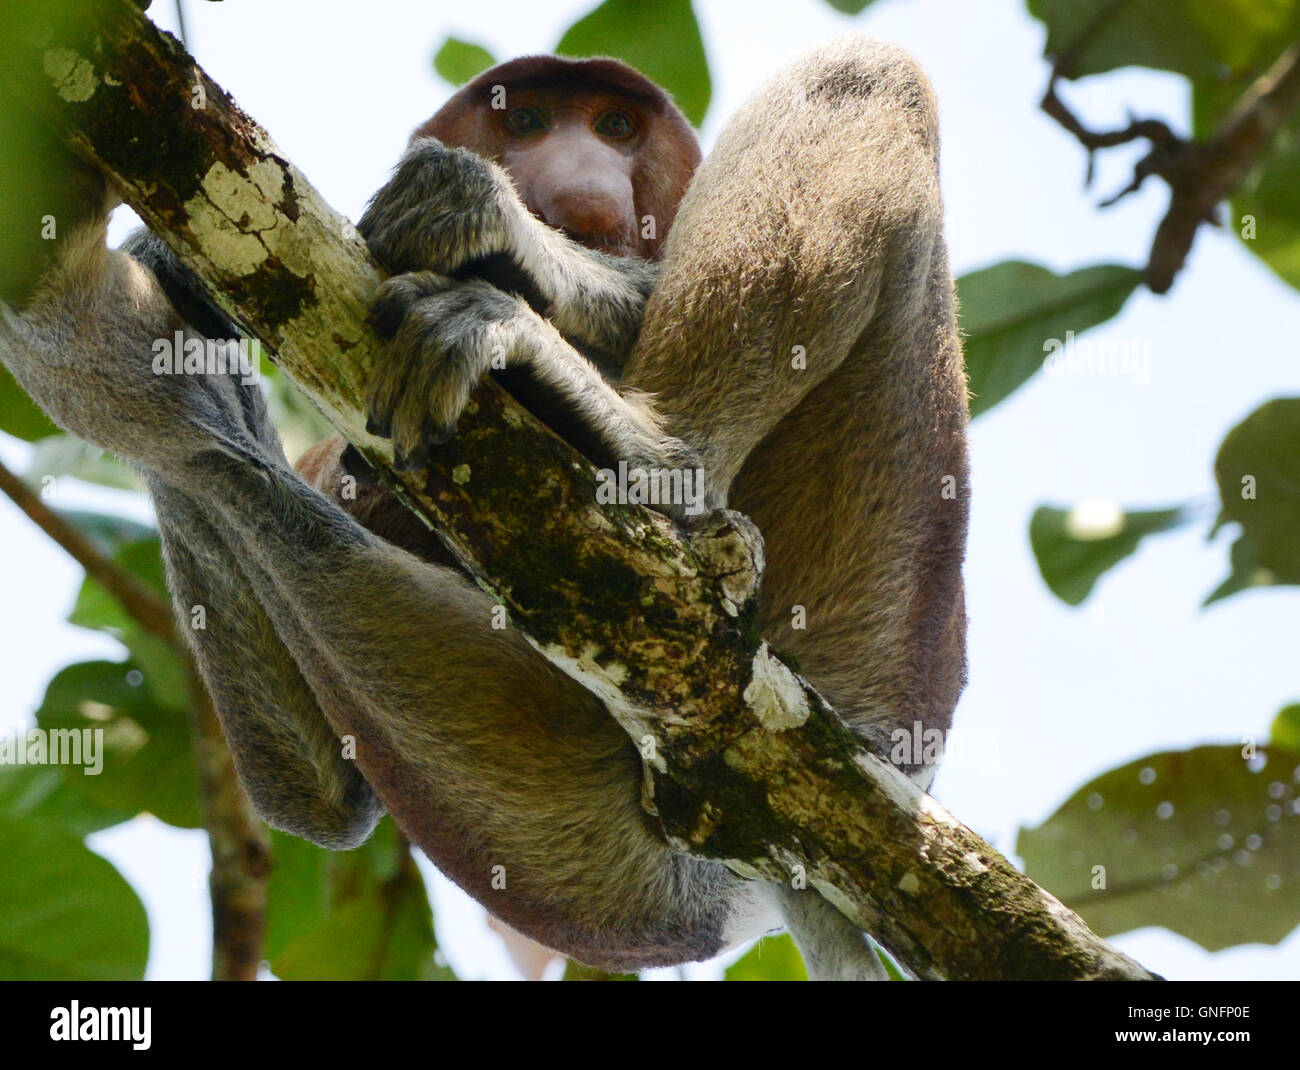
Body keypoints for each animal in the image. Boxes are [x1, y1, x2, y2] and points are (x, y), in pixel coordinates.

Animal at [0, 37, 969, 979]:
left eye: (616, 127)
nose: (581, 183)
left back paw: (653, 449)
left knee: (863, 72)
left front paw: (488, 226)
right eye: (528, 121)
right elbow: (322, 797)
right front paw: (162, 265)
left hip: (880, 607)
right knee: (207, 462)